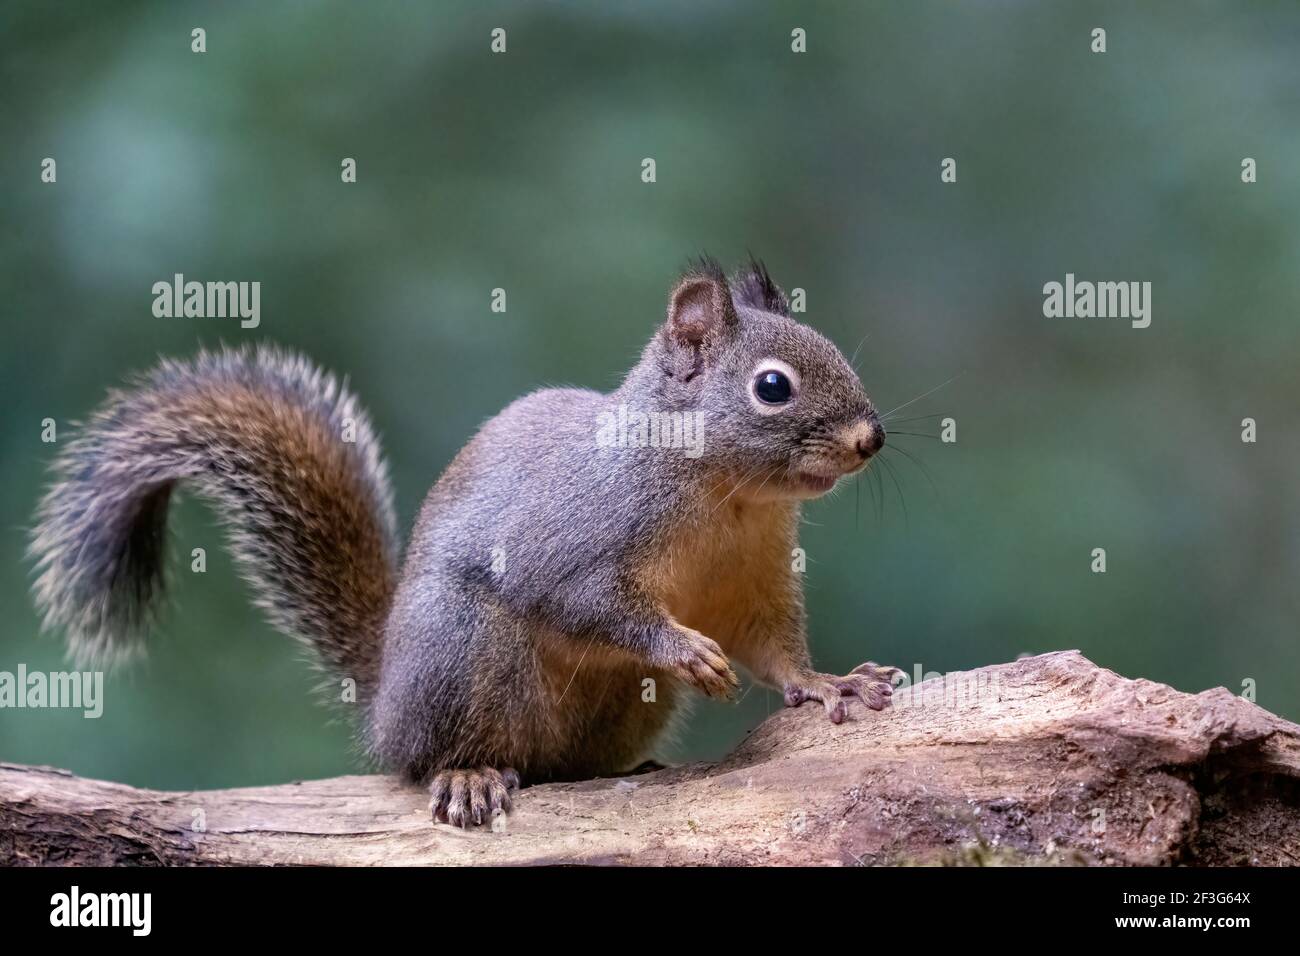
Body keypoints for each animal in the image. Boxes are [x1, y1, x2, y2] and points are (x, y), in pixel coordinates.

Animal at [29, 256, 900, 827]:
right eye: (772, 386)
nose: (871, 439)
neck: (730, 499)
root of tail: (384, 700)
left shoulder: (755, 579)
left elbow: (770, 646)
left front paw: (828, 682)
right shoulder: (571, 539)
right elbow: (588, 603)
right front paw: (683, 647)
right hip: (463, 650)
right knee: (428, 760)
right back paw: (470, 776)